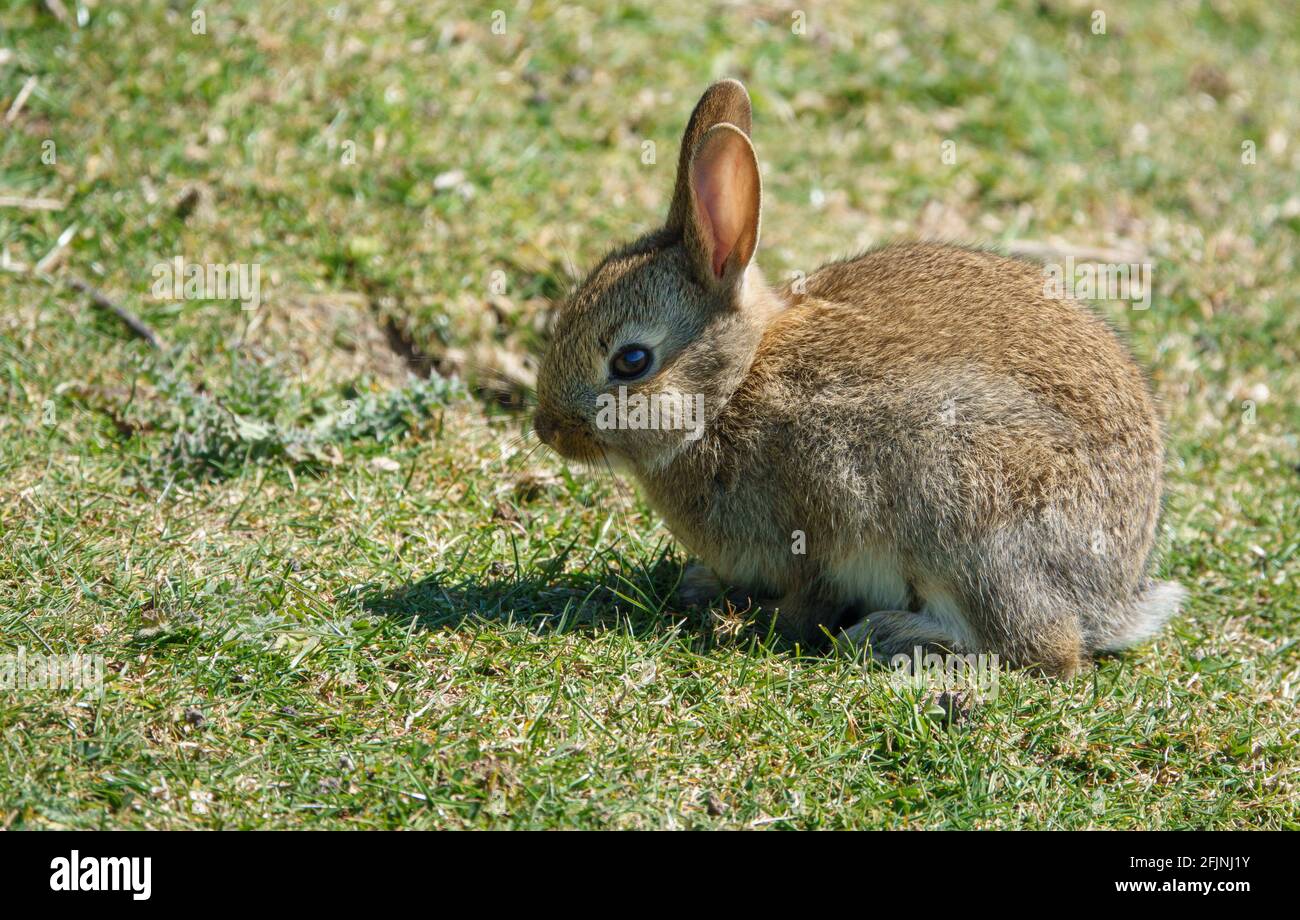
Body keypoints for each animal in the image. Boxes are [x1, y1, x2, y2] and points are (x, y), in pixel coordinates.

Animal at [533, 79, 1184, 676]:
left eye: (631, 362)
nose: (547, 430)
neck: (733, 388)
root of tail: (1111, 596)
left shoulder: (822, 516)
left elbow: (811, 593)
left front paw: (757, 622)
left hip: (973, 514)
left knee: (1041, 649)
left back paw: (890, 636)